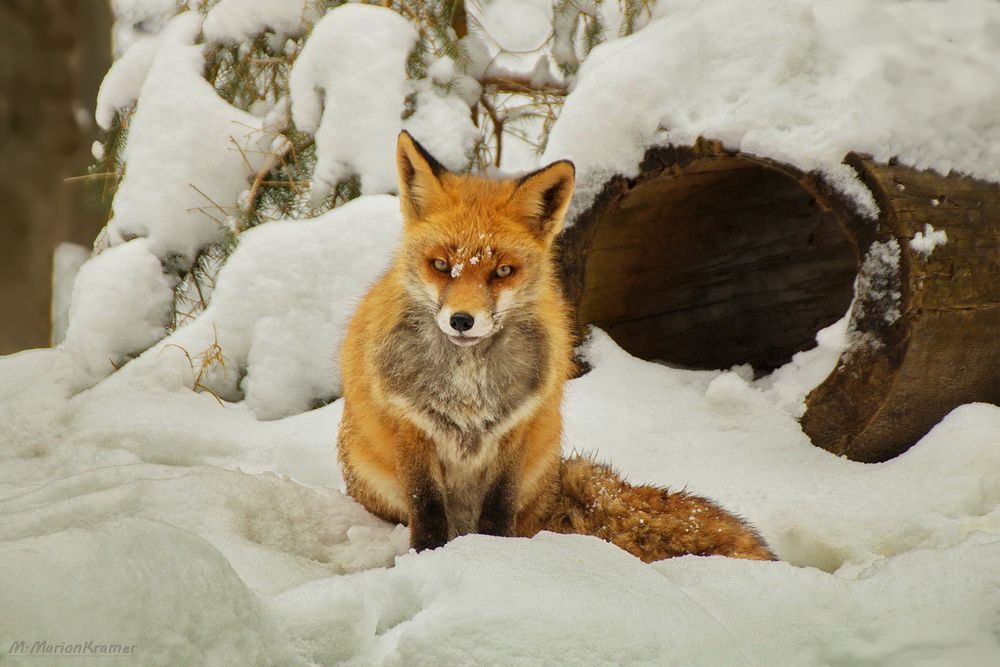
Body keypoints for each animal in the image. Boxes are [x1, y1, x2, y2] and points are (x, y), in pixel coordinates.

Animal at [336, 131, 774, 562]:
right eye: (441, 265)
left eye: (503, 271)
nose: (462, 320)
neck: (468, 380)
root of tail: (554, 488)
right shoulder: (408, 425)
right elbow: (425, 506)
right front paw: (429, 557)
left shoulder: (519, 425)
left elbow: (499, 506)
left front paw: (495, 555)